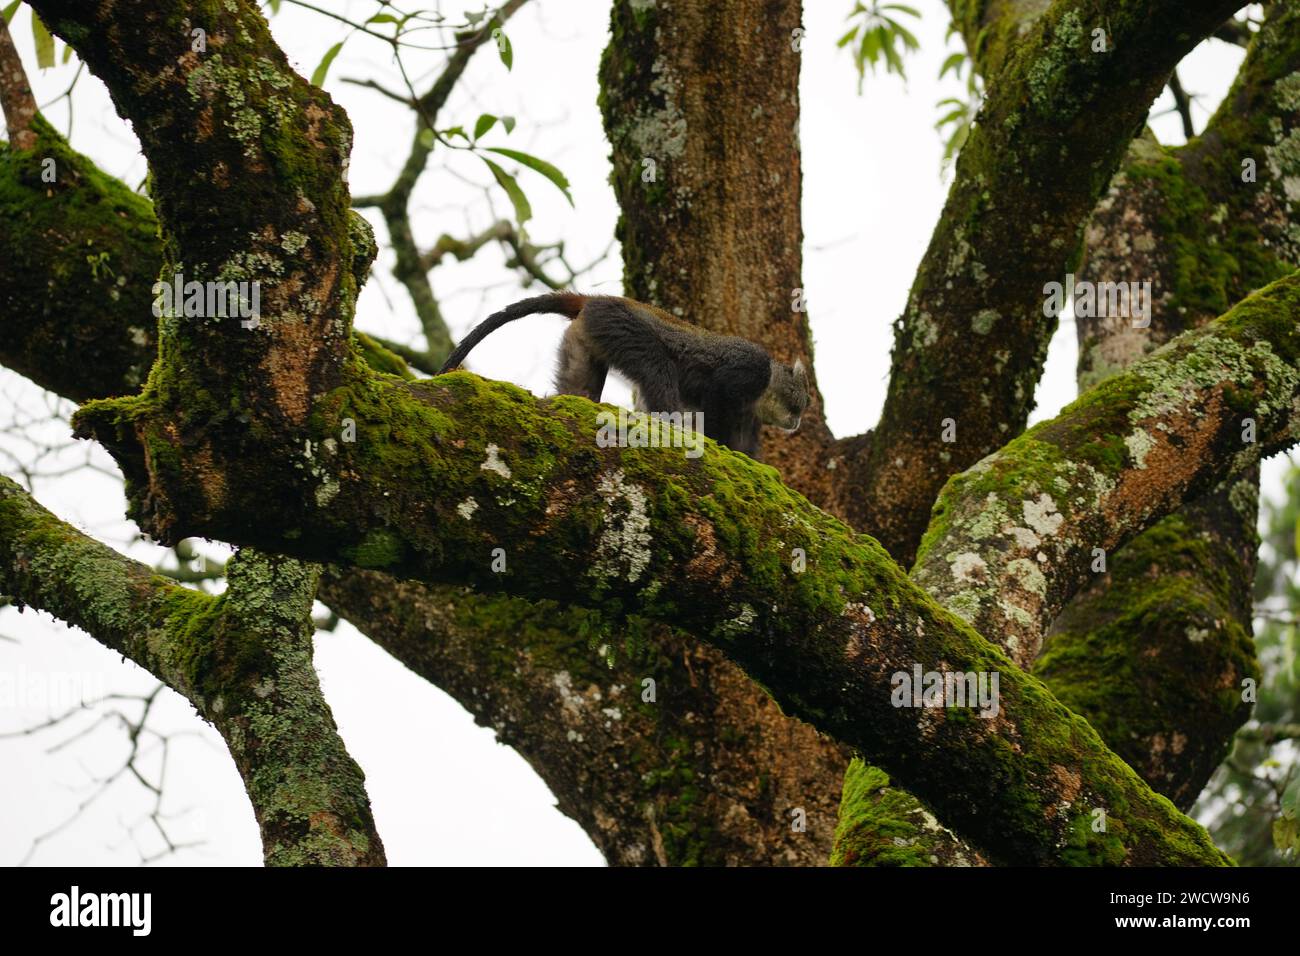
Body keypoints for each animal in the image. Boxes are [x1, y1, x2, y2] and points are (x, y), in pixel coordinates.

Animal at [436, 291, 809, 459]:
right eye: (800, 403)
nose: (797, 422)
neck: (770, 384)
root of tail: (594, 300)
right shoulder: (747, 372)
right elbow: (716, 395)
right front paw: (715, 443)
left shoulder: (751, 415)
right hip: (619, 324)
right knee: (657, 367)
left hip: (585, 339)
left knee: (580, 387)